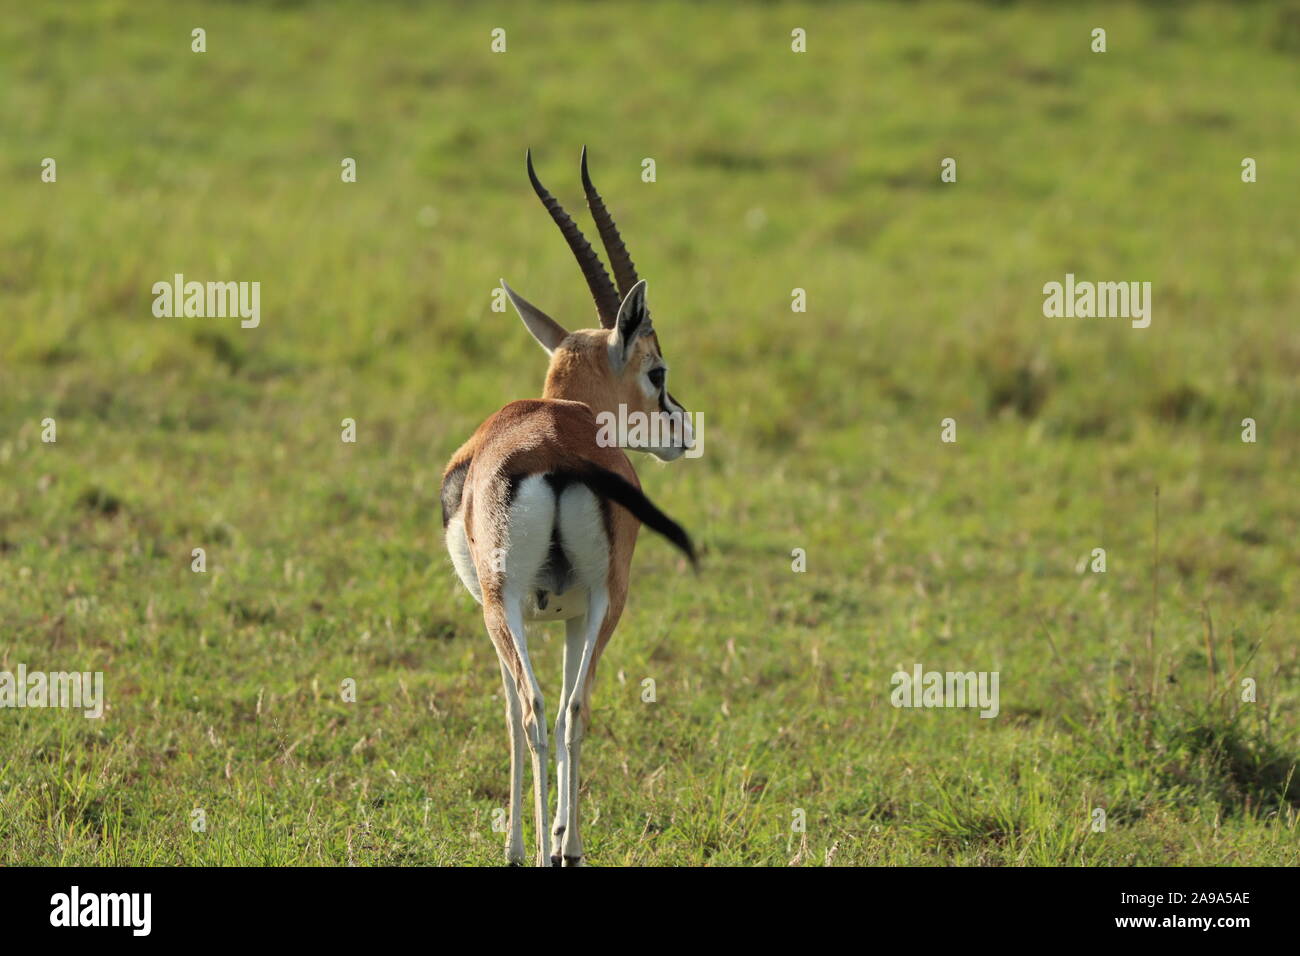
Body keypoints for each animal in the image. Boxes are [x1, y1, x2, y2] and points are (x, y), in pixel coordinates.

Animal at [440, 148, 697, 866]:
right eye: (657, 371)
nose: (684, 431)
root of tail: (554, 448)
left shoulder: (522, 613)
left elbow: (517, 711)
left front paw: (521, 843)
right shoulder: (566, 613)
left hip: (530, 605)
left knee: (541, 709)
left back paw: (549, 850)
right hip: (591, 603)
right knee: (566, 709)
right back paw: (564, 847)